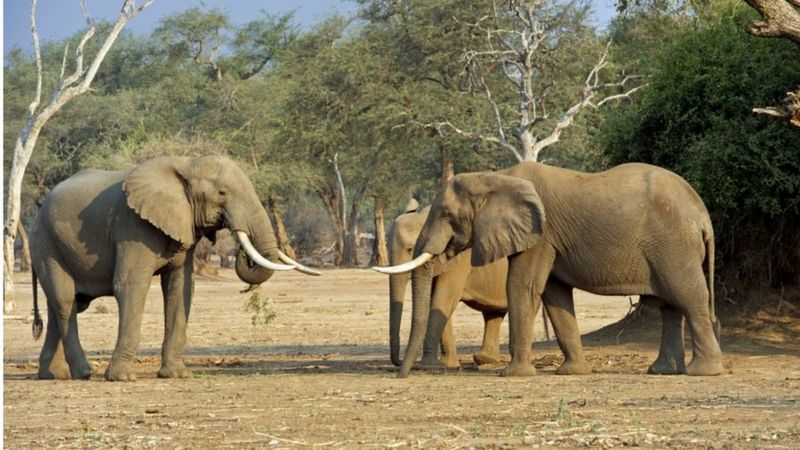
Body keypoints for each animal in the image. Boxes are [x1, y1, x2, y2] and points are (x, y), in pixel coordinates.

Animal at [29, 155, 320, 381]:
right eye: (222, 193)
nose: (239, 246)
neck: (187, 165)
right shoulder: (132, 226)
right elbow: (129, 285)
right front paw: (122, 378)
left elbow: (181, 287)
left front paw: (177, 374)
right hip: (46, 244)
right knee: (66, 301)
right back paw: (83, 373)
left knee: (62, 305)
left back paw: (53, 375)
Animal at [386, 204, 508, 369]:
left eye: (410, 249)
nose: (399, 362)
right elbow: (436, 301)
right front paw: (448, 365)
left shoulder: (461, 259)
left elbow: (443, 298)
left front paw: (428, 365)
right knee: (493, 313)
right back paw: (486, 359)